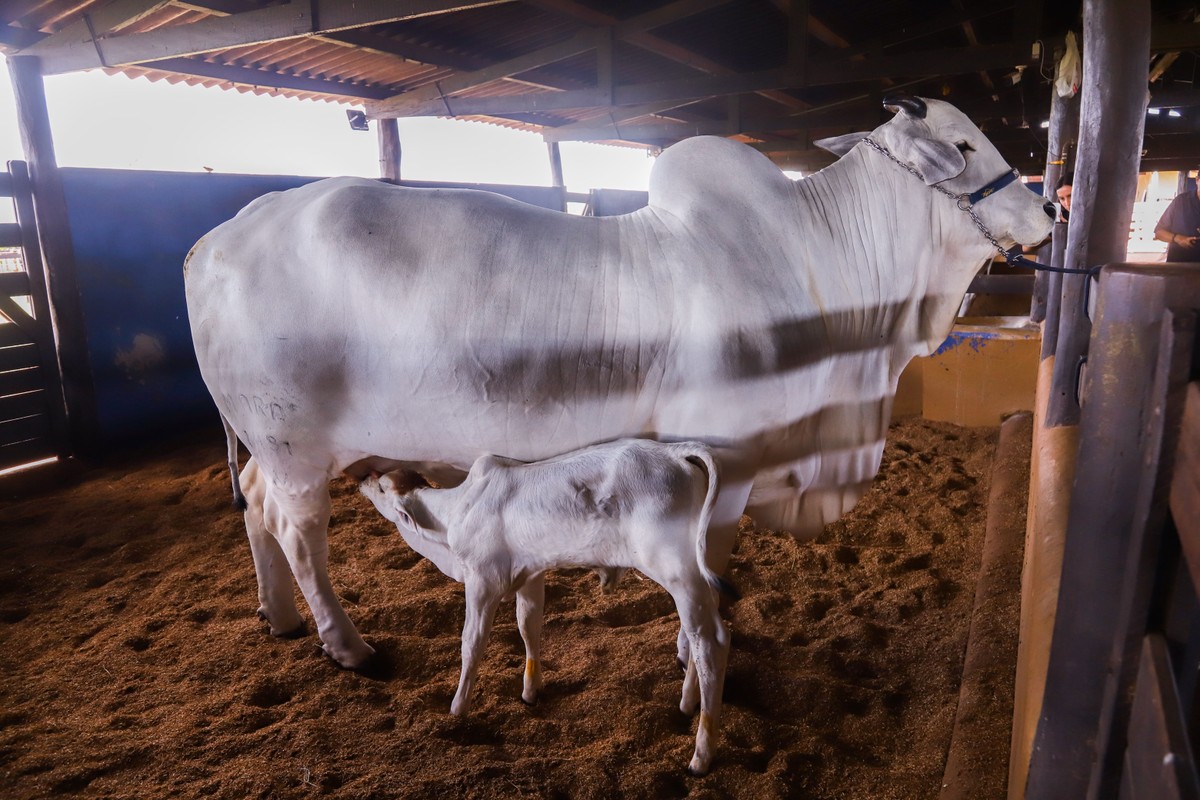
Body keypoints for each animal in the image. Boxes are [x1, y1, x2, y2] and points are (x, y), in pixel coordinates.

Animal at [184, 94, 1054, 672]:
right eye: (965, 145)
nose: (1048, 211)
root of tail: (217, 236)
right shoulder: (724, 452)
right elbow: (711, 554)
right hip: (296, 445)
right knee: (298, 531)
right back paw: (346, 643)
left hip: (275, 447)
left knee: (257, 507)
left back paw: (279, 617)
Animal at [358, 438, 737, 775]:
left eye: (382, 486)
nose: (363, 476)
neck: (457, 512)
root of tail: (673, 452)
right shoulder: (530, 574)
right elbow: (529, 626)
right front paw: (530, 691)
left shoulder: (483, 580)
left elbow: (472, 642)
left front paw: (457, 707)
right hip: (695, 573)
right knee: (703, 633)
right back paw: (687, 703)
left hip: (675, 569)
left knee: (711, 642)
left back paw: (700, 757)